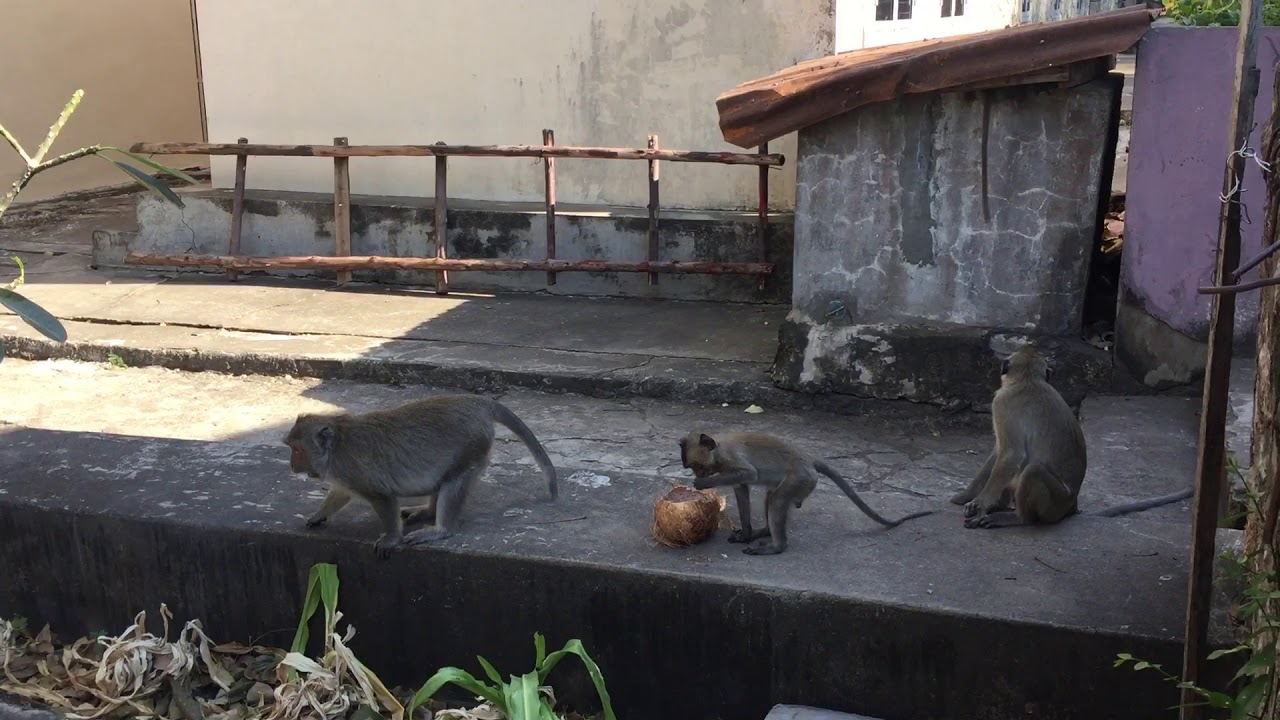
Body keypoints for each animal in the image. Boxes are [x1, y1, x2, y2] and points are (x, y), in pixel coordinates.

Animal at [284, 394, 557, 558]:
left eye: (297, 450)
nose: (292, 466)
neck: (337, 444)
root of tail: (475, 401)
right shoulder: (344, 475)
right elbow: (340, 494)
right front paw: (319, 515)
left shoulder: (355, 471)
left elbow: (383, 498)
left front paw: (390, 539)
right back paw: (426, 512)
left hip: (473, 446)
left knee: (454, 480)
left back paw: (440, 529)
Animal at [677, 431, 934, 555]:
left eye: (699, 467)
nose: (699, 475)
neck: (719, 451)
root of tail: (809, 460)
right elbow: (742, 489)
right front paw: (747, 533)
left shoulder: (730, 459)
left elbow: (749, 475)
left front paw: (702, 485)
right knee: (772, 495)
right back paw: (765, 531)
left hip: (801, 480)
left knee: (777, 499)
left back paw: (777, 546)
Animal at [952, 344, 1192, 529]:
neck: (1028, 380)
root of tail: (1072, 506)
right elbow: (999, 453)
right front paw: (967, 495)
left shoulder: (1001, 404)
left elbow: (1011, 454)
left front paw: (981, 503)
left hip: (1055, 502)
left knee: (1032, 470)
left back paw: (1017, 518)